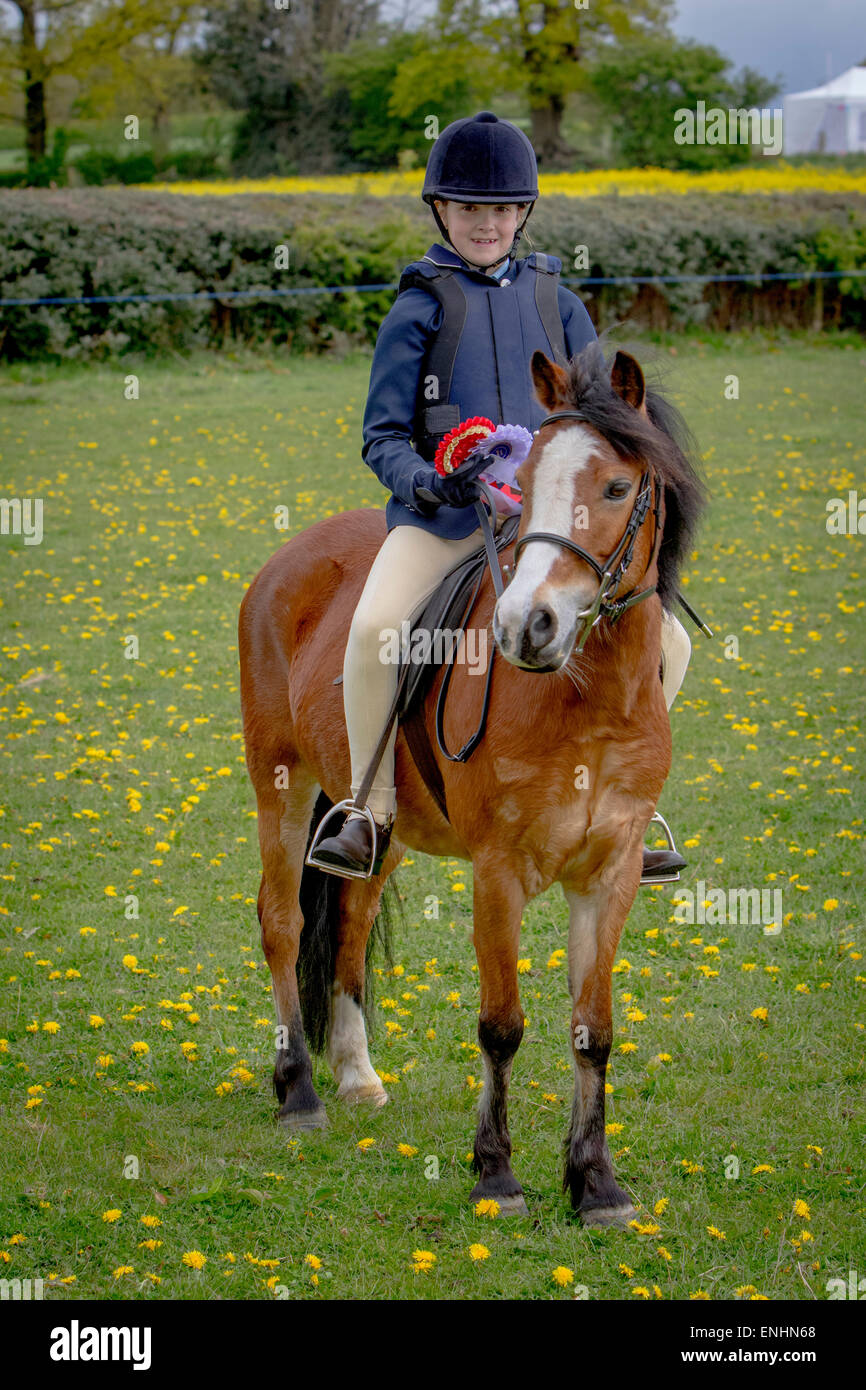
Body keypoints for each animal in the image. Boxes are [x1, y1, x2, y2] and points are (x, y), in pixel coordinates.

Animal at [238, 340, 705, 1224]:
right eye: (529, 480)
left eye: (616, 487)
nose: (530, 627)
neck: (585, 696)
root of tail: (288, 557)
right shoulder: (499, 870)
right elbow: (501, 1024)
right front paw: (496, 1172)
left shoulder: (611, 871)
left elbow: (594, 1028)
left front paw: (597, 1184)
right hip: (279, 785)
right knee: (282, 923)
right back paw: (300, 1093)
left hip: (377, 826)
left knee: (349, 920)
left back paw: (356, 1075)